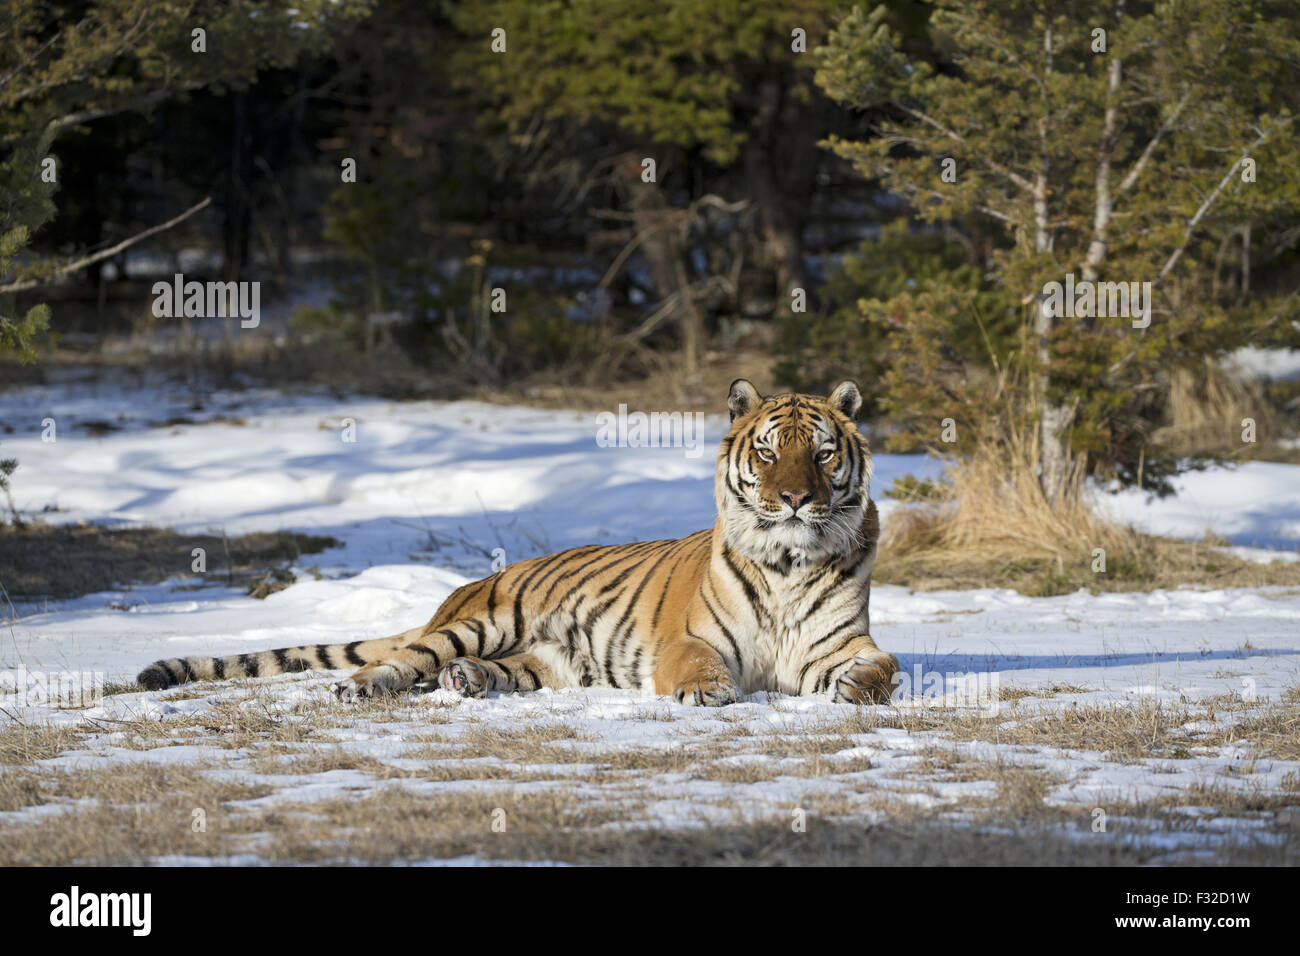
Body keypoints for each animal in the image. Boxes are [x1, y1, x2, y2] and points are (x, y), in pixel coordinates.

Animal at [136, 379, 899, 706]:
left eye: (822, 454)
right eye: (769, 453)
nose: (795, 498)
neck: (789, 564)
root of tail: (458, 594)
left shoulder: (840, 644)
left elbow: (881, 666)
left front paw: (862, 688)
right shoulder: (694, 638)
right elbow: (697, 665)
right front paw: (705, 692)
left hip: (549, 660)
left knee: (486, 671)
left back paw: (467, 682)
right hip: (484, 620)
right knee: (394, 662)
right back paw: (364, 687)